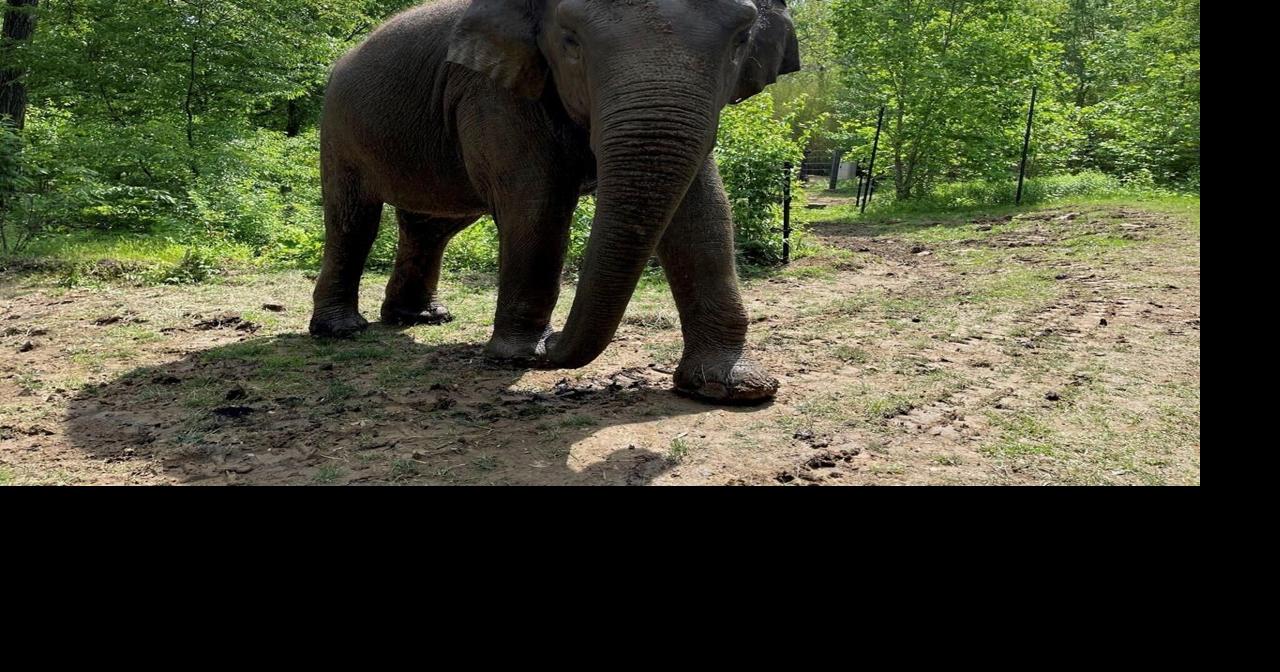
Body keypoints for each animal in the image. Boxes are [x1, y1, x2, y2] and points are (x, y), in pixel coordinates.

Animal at [309, 0, 800, 403]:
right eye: (570, 41)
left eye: (741, 39)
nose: (553, 343)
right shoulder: (493, 90)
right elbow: (536, 205)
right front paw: (518, 357)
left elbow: (704, 213)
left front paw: (734, 388)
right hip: (337, 125)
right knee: (353, 220)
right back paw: (341, 331)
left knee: (431, 225)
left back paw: (421, 318)